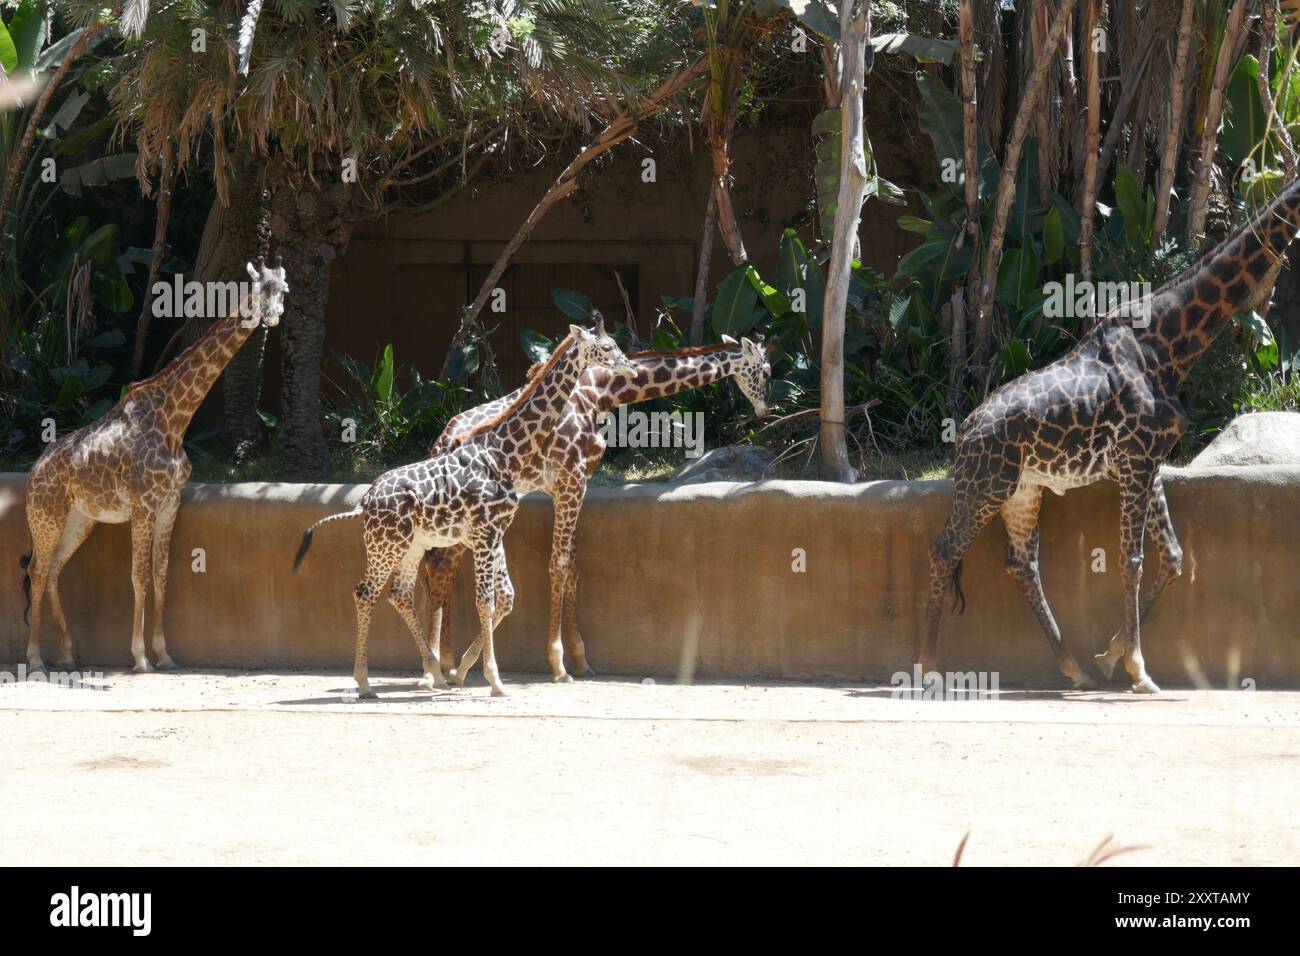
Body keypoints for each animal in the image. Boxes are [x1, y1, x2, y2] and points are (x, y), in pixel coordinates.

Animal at [20, 259, 289, 673]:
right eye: (261, 288)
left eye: (284, 290)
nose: (272, 318)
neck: (175, 420)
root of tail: (33, 472)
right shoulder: (143, 505)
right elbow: (139, 576)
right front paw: (140, 657)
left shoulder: (169, 505)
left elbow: (161, 576)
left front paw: (164, 654)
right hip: (46, 515)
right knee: (36, 570)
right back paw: (35, 660)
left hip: (80, 519)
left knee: (52, 571)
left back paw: (67, 653)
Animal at [293, 322, 637, 698]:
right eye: (608, 347)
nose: (632, 369)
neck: (503, 454)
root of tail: (364, 502)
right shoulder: (485, 534)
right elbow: (485, 601)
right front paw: (495, 682)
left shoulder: (491, 534)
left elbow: (504, 598)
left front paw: (463, 673)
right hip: (386, 546)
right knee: (365, 593)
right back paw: (366, 683)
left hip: (411, 545)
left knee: (399, 593)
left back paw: (434, 673)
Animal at [424, 334, 771, 681]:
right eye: (766, 372)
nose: (764, 410)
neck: (601, 390)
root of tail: (443, 440)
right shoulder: (570, 481)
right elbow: (559, 565)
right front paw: (558, 663)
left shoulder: (575, 486)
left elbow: (573, 568)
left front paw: (580, 658)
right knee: (441, 565)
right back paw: (443, 665)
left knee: (441, 565)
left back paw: (446, 663)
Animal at [923, 176, 1300, 694]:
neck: (1170, 344)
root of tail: (962, 436)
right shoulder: (1135, 462)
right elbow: (1131, 561)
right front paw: (1139, 671)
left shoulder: (1148, 463)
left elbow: (1174, 557)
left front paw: (1109, 657)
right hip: (986, 486)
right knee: (944, 551)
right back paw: (926, 668)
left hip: (1024, 490)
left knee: (1022, 564)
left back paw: (1074, 668)